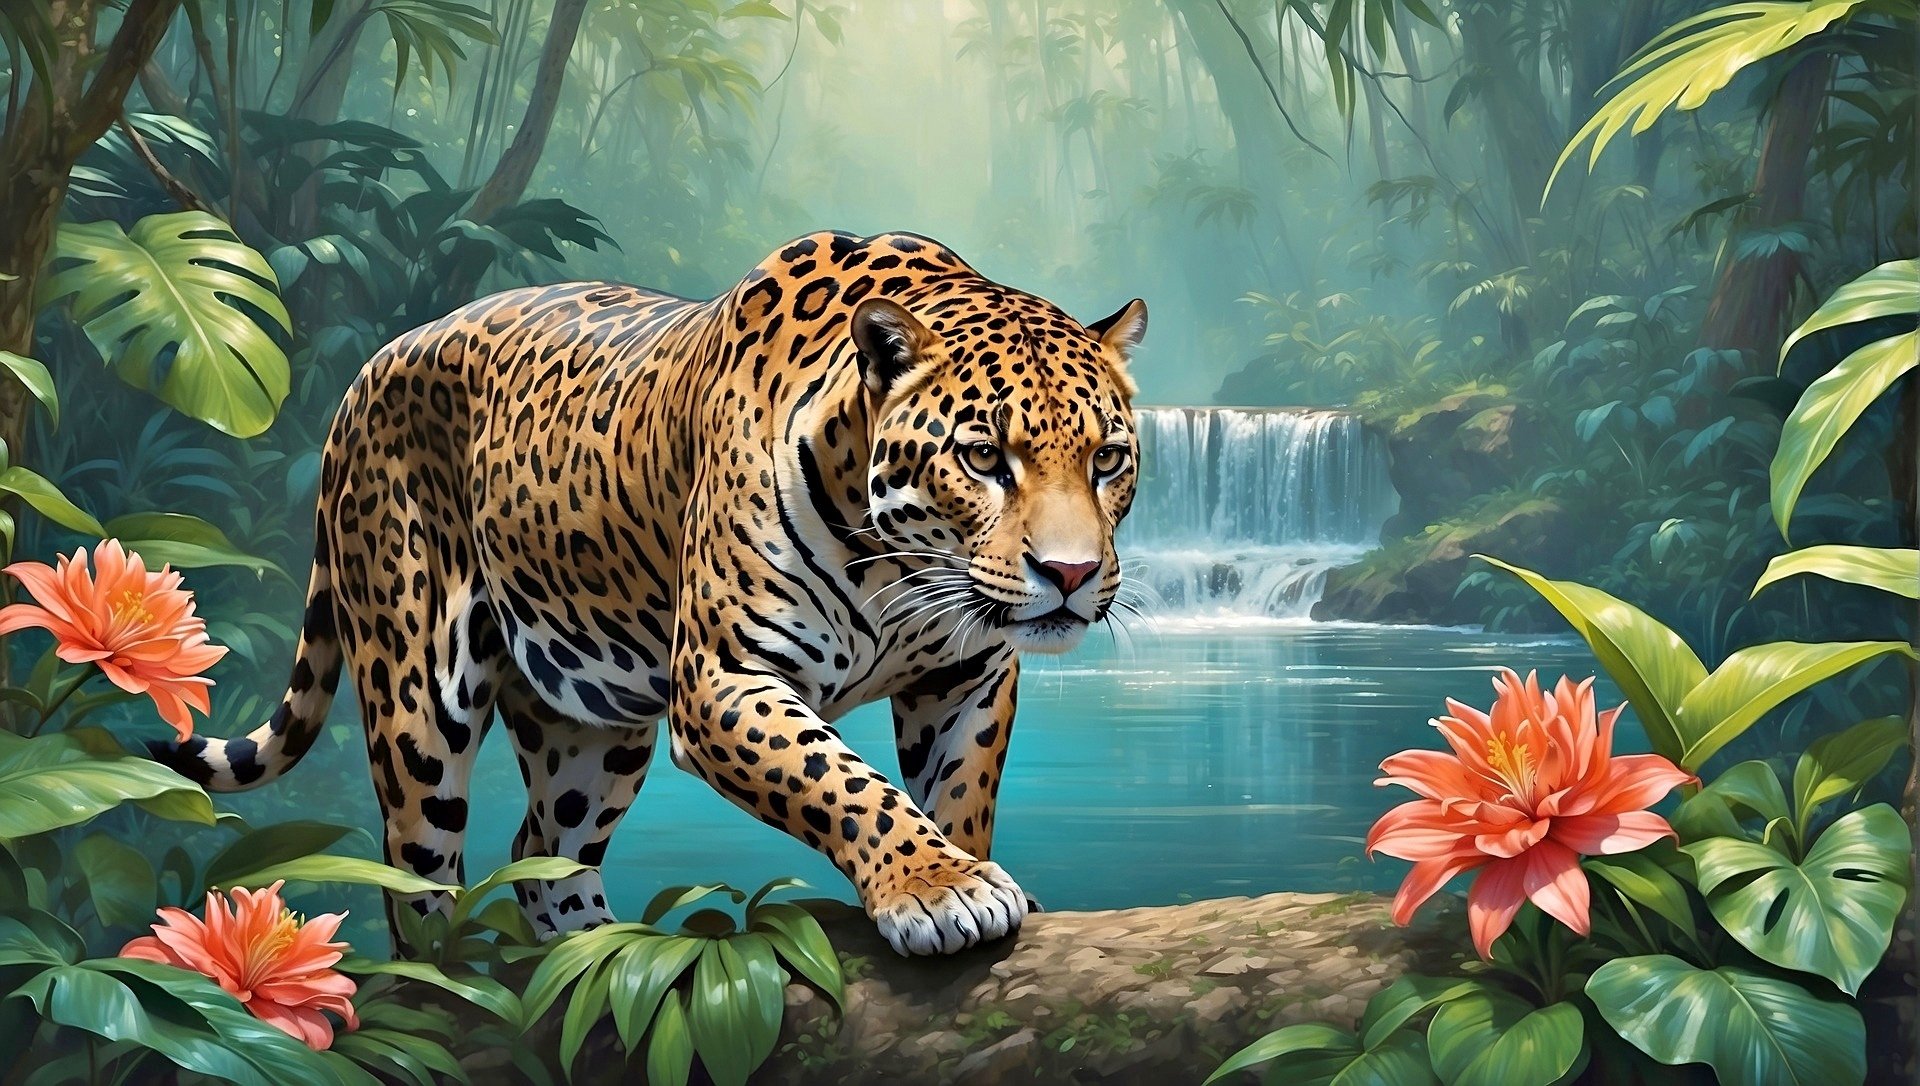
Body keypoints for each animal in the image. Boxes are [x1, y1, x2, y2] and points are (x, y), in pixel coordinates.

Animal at [154, 230, 1148, 957]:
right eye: (983, 457)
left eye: (1107, 459)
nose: (1069, 577)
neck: (896, 562)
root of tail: (368, 368)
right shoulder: (724, 678)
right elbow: (842, 781)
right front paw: (937, 888)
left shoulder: (966, 676)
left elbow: (958, 794)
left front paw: (965, 872)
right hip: (418, 706)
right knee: (418, 883)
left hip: (588, 724)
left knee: (542, 850)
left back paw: (605, 955)